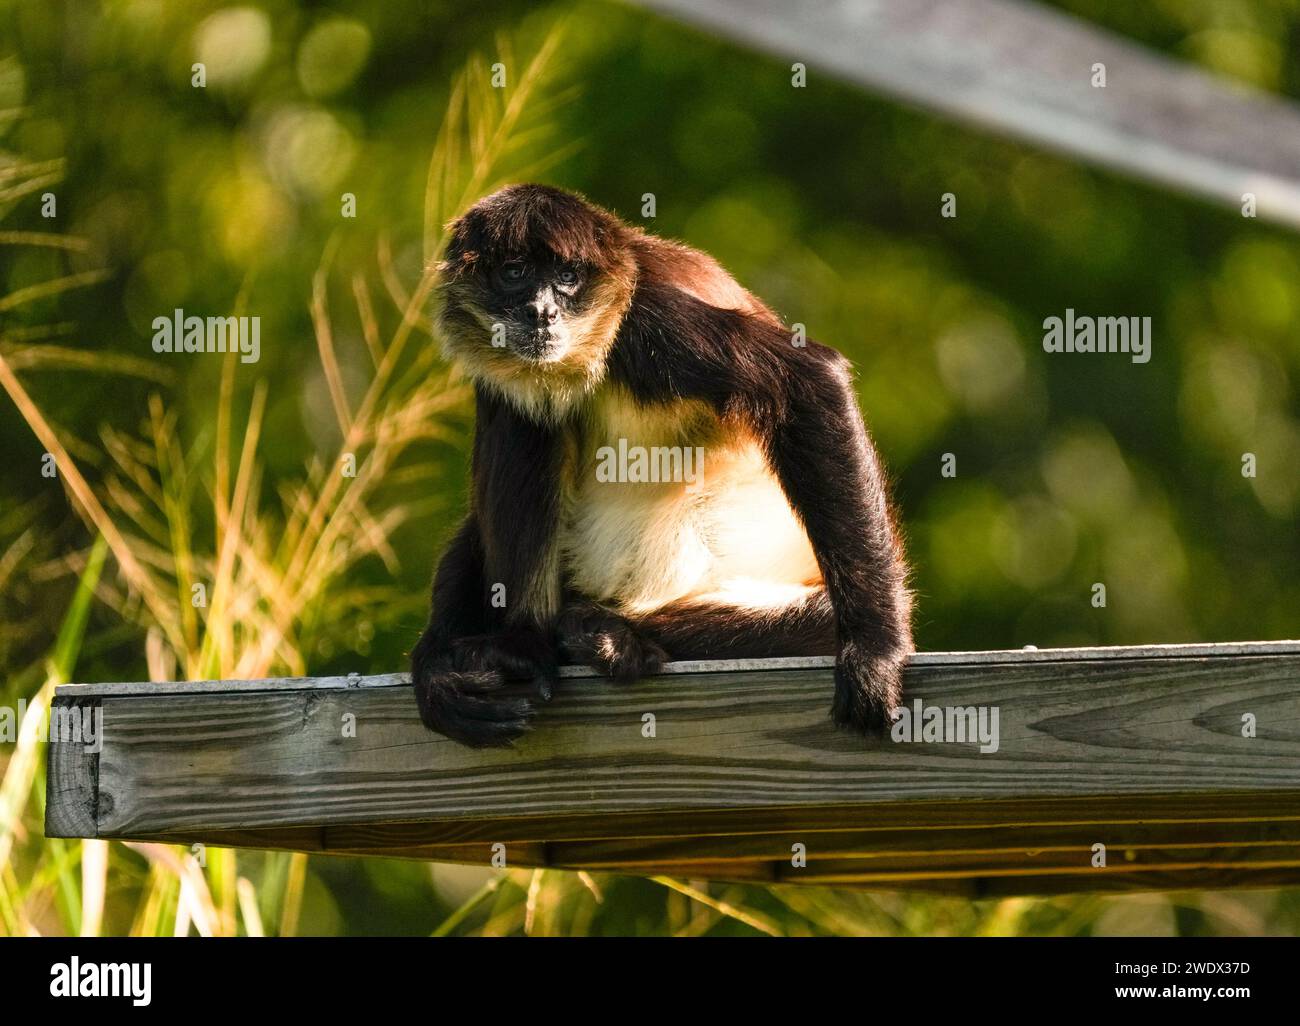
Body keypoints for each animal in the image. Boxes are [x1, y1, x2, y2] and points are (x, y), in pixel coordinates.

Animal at [410, 183, 913, 747]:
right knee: (523, 412)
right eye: (515, 272)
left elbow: (807, 381)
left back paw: (602, 636)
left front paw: (875, 650)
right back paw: (525, 644)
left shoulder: (649, 320)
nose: (542, 312)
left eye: (567, 277)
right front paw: (435, 670)